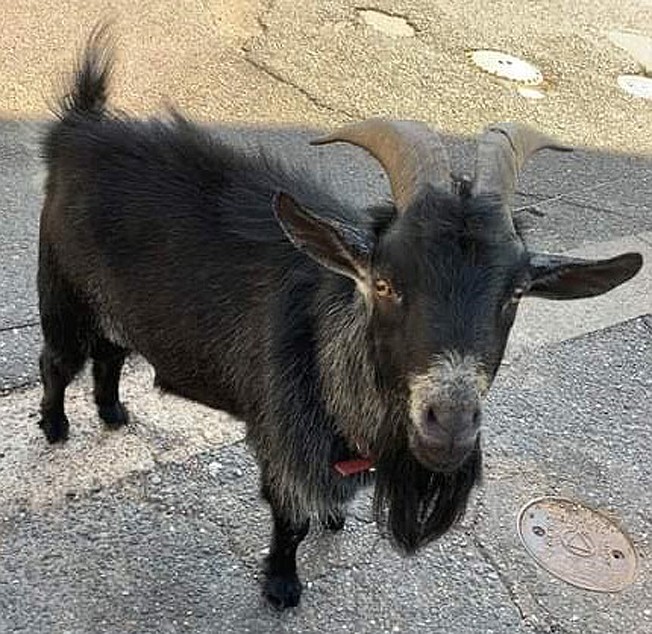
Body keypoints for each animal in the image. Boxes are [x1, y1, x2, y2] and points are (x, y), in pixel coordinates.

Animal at [37, 26, 643, 609]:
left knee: (110, 352)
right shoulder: (285, 441)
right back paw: (56, 426)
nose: (448, 426)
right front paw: (283, 585)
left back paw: (114, 412)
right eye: (385, 284)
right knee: (57, 362)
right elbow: (290, 521)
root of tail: (77, 131)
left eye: (515, 293)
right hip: (62, 295)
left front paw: (333, 520)